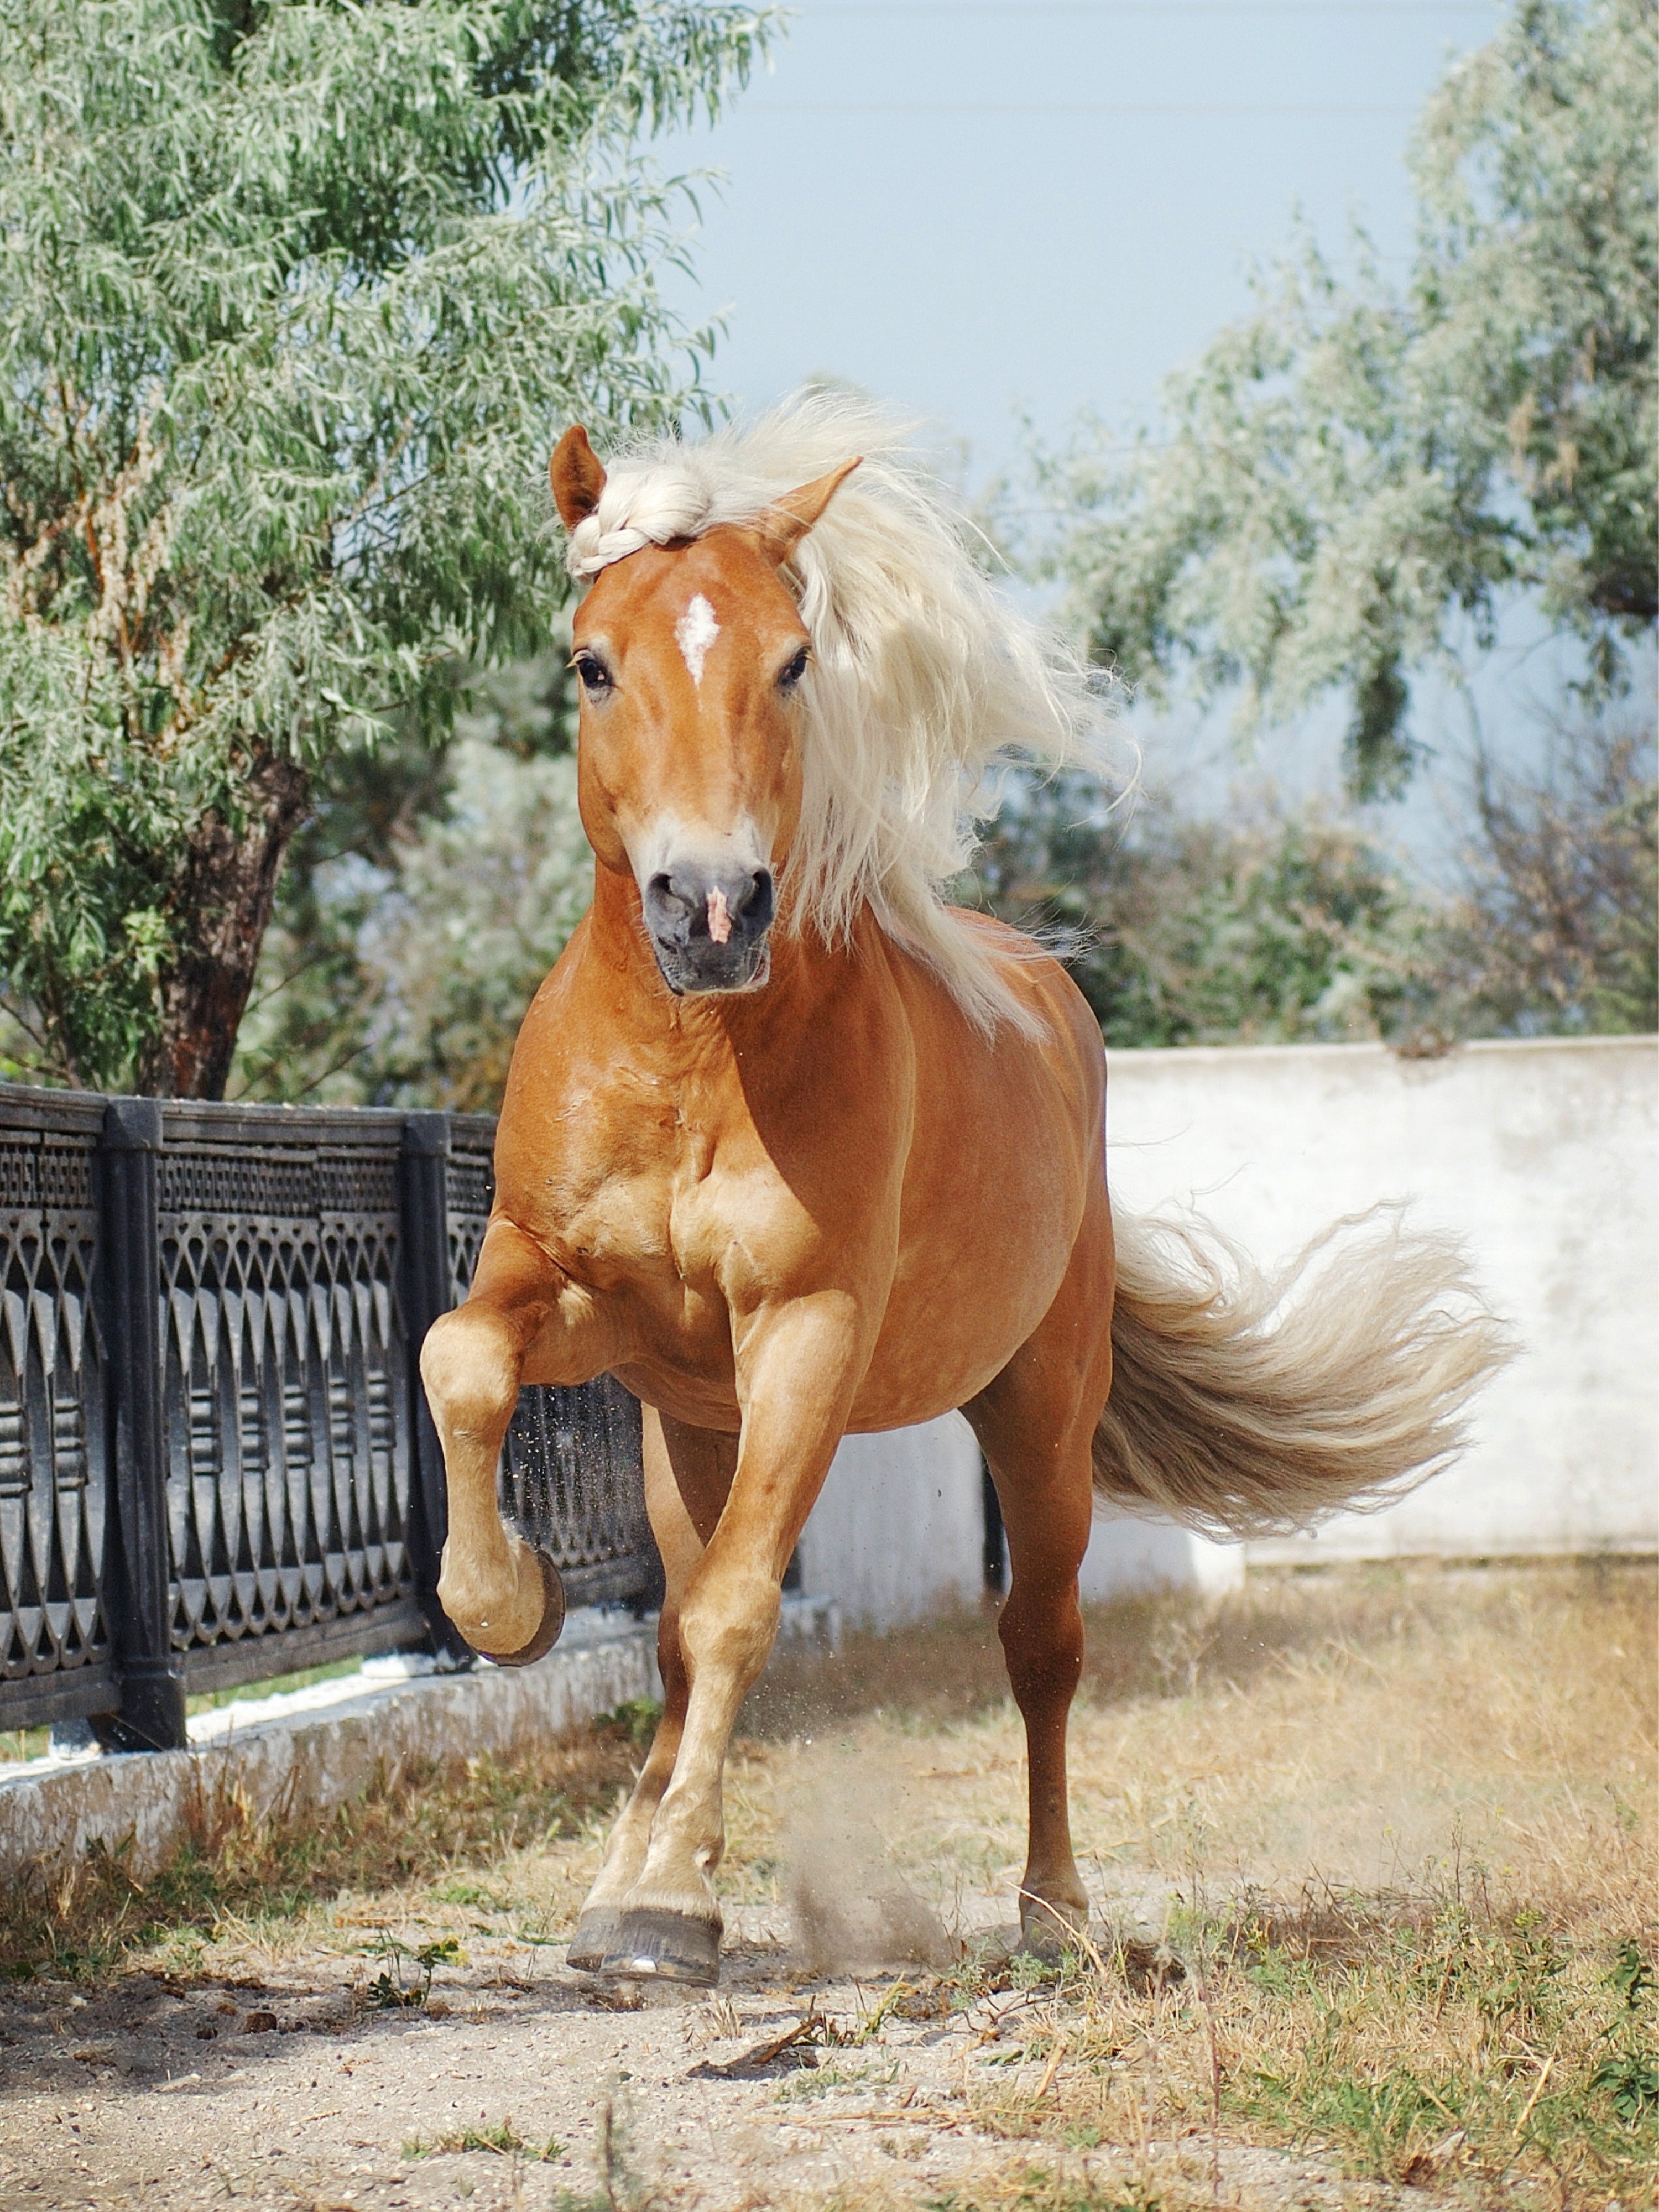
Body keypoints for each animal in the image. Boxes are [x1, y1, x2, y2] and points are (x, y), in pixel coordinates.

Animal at [419, 395, 1508, 1988]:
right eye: (593, 662)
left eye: (793, 661)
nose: (711, 907)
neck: (696, 1061)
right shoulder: (575, 1289)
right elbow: (466, 1370)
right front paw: (511, 1615)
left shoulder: (808, 1332)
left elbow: (743, 1608)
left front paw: (676, 1903)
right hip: (690, 1420)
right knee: (675, 1626)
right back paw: (622, 1871)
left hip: (1035, 1413)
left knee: (1038, 1642)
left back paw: (1050, 1908)